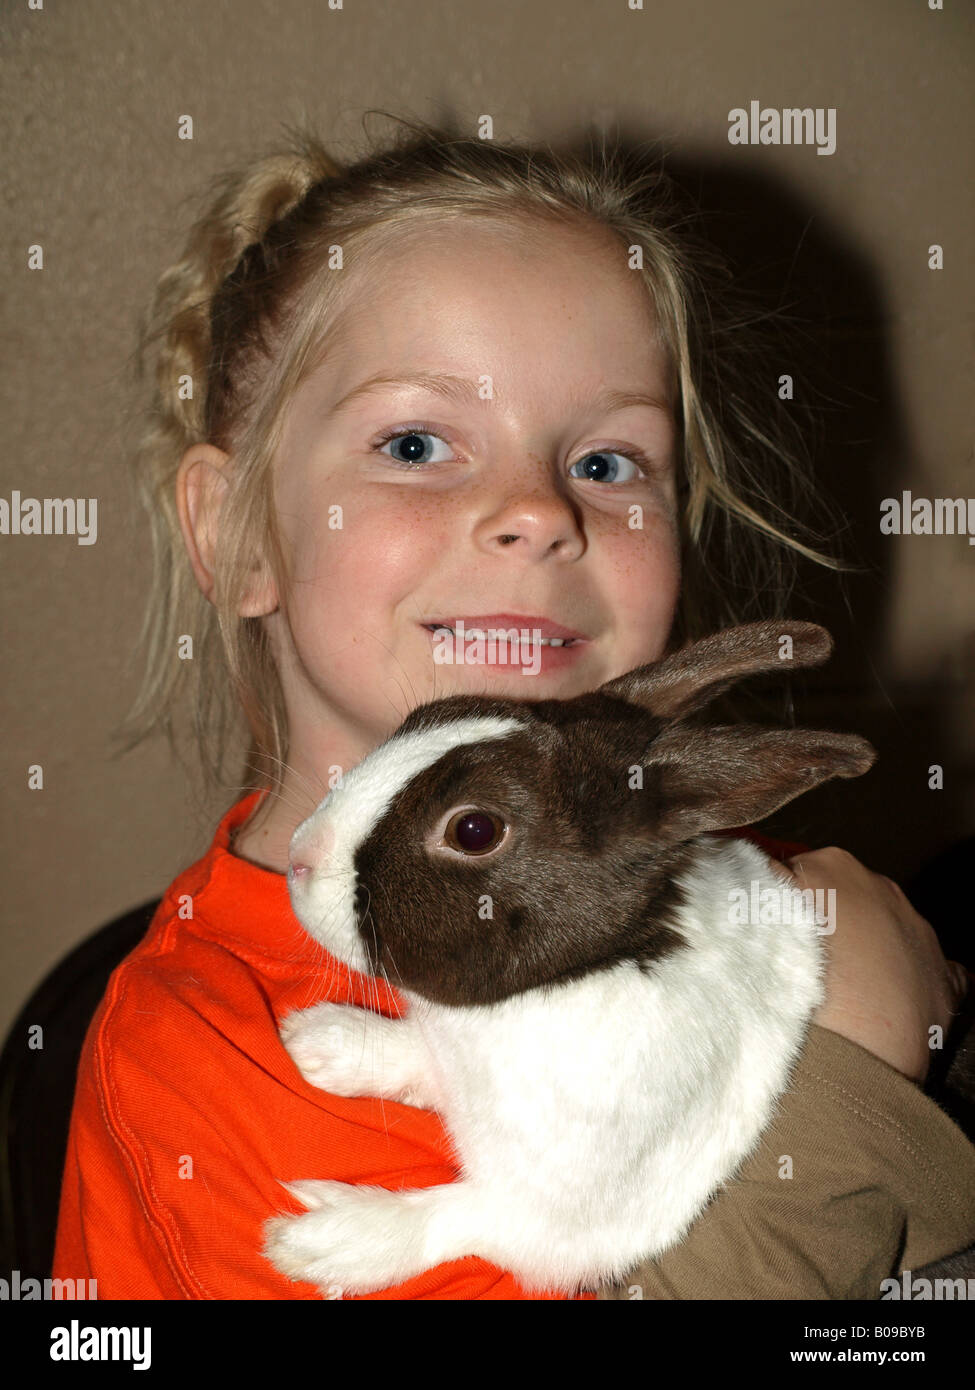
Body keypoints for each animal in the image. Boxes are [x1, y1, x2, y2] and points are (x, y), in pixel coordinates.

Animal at [260, 619, 965, 1296]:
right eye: (426, 716)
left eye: (474, 830)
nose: (299, 859)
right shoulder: (448, 1067)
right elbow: (413, 1057)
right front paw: (319, 1040)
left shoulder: (558, 1220)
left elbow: (450, 1217)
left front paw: (321, 1243)